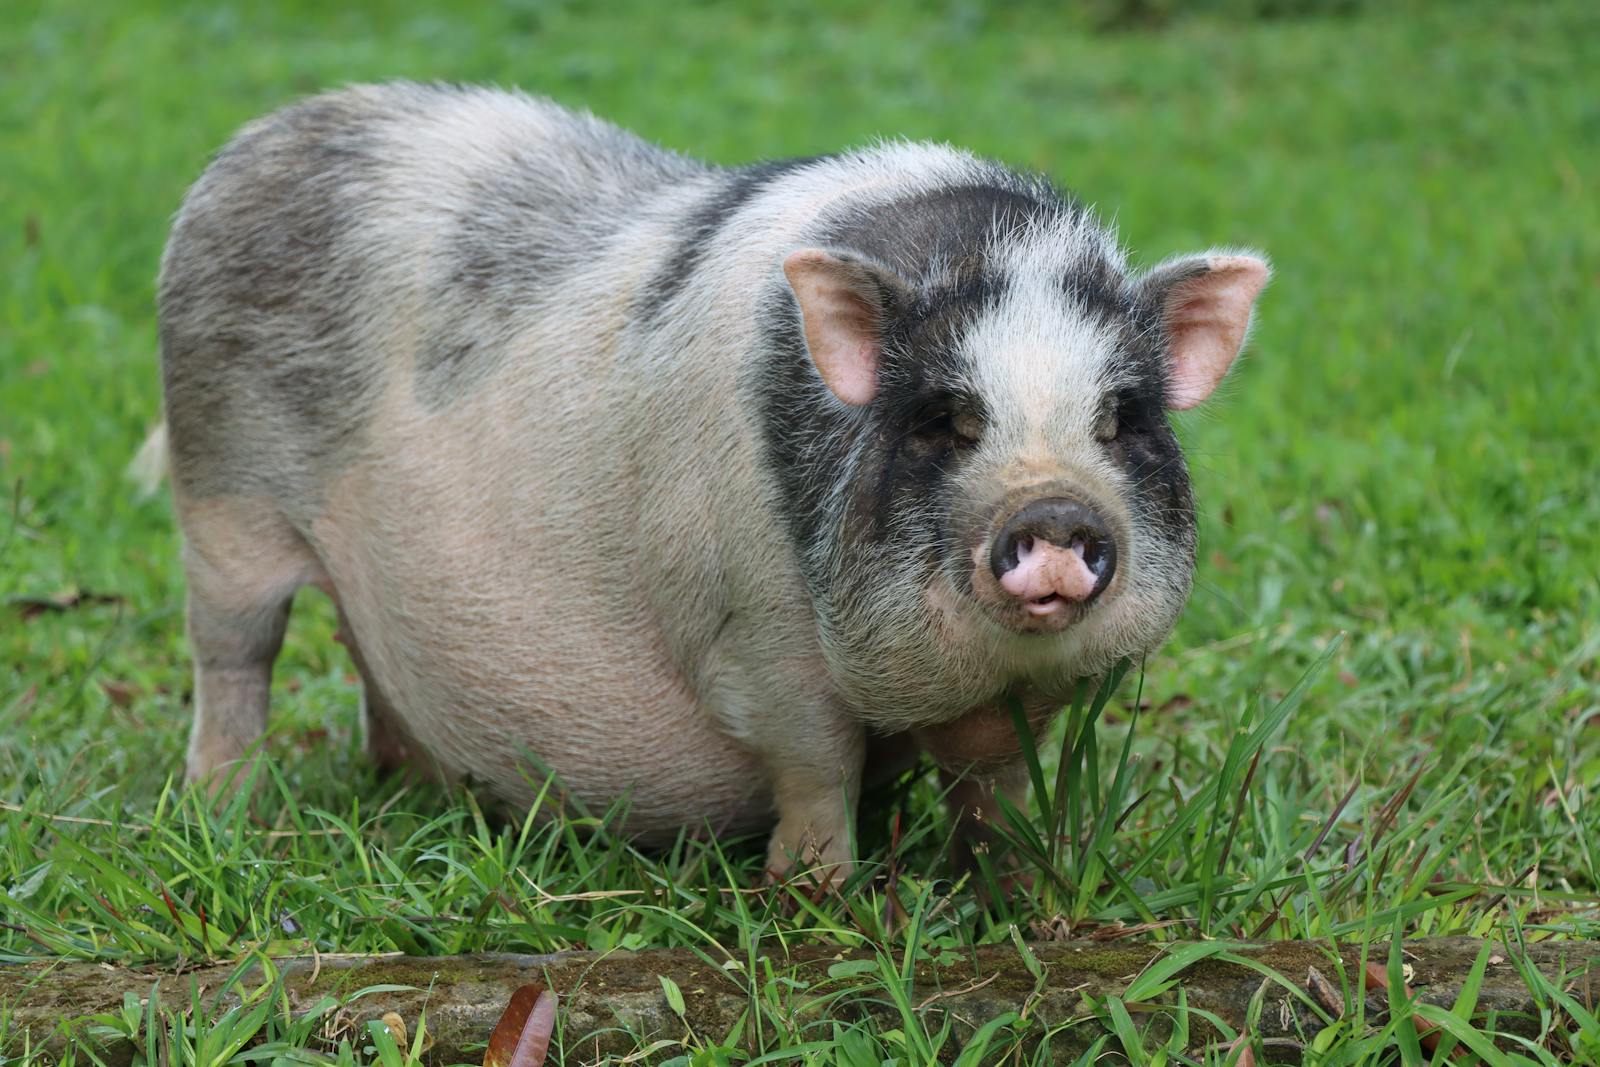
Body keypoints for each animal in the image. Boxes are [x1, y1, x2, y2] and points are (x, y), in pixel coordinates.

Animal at [156, 82, 1268, 878]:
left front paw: (1015, 892)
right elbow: (818, 763)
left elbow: (998, 785)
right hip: (220, 493)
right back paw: (225, 808)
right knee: (234, 651)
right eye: (942, 421)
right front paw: (817, 897)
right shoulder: (753, 623)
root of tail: (264, 134)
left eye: (1122, 418)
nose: (1053, 508)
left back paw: (404, 789)